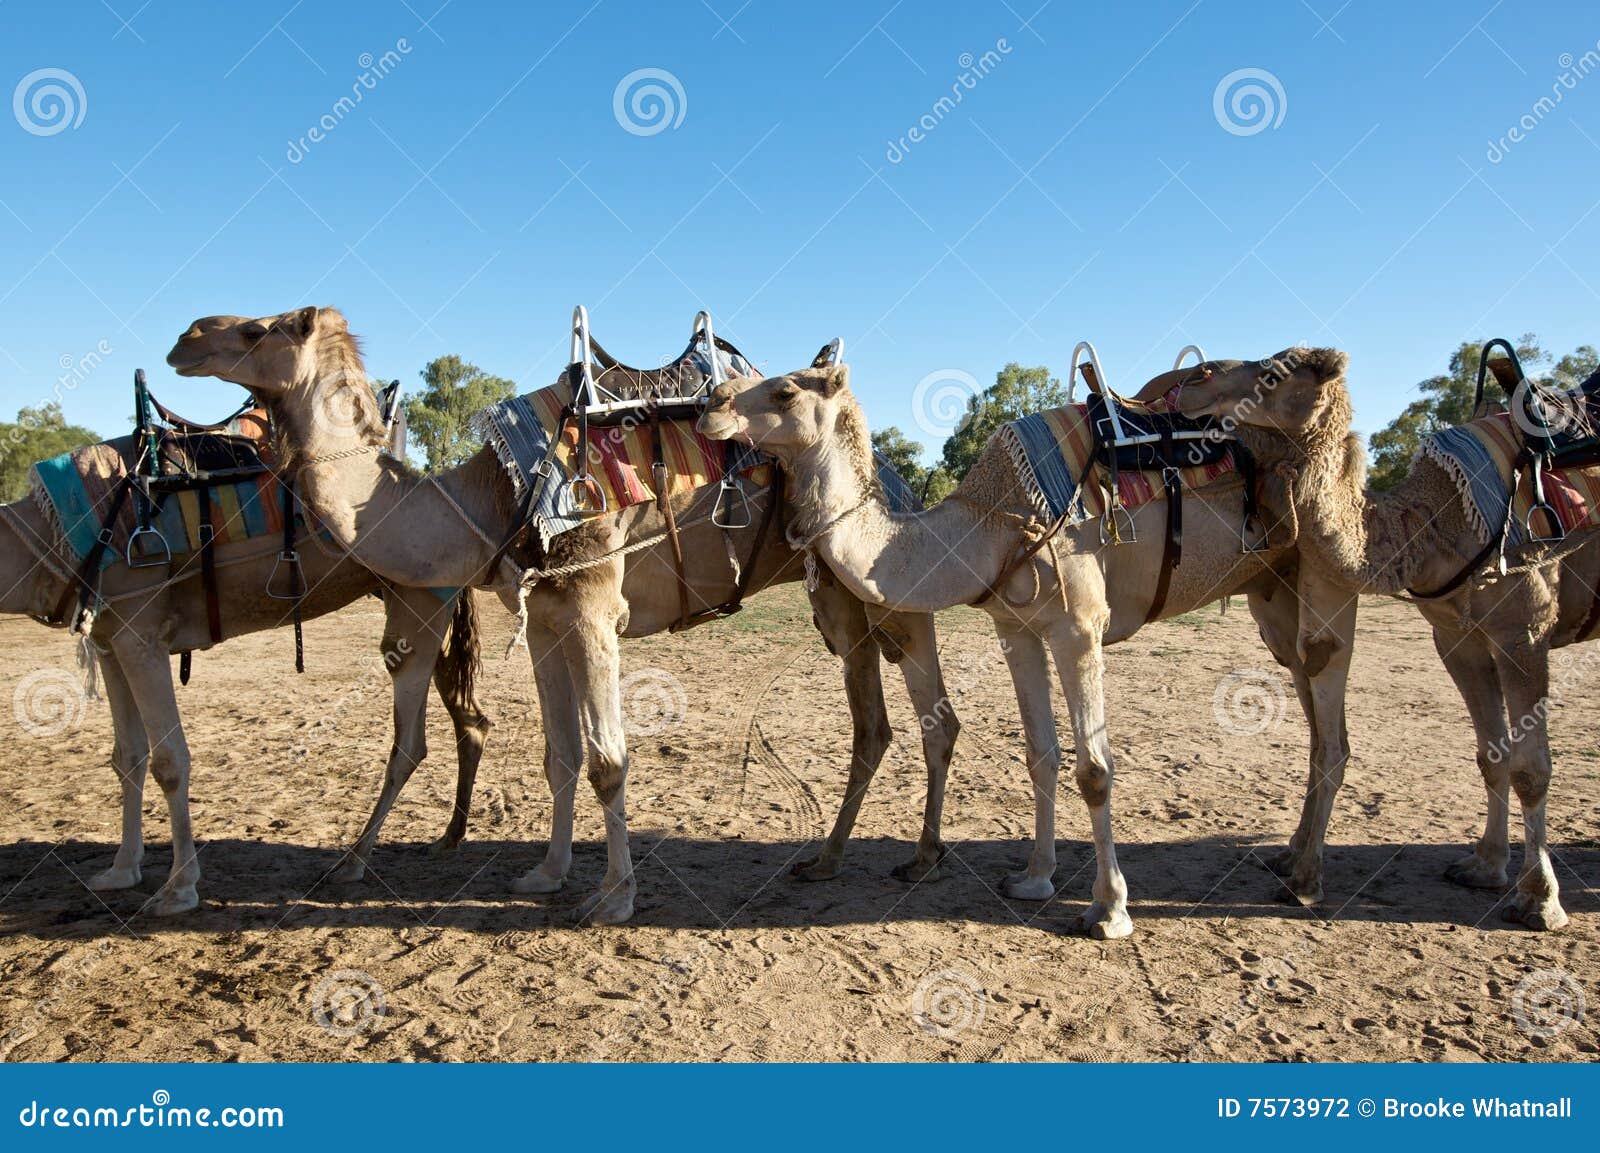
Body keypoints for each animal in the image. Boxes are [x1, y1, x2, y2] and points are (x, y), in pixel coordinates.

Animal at [0, 475, 488, 917]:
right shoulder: (108, 638)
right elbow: (127, 757)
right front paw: (120, 870)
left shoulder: (141, 630)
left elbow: (169, 762)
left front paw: (179, 889)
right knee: (471, 719)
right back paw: (447, 837)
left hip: (418, 602)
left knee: (410, 744)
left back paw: (352, 862)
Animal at [166, 305, 959, 926]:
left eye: (258, 328)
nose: (185, 337)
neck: (494, 499)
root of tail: (889, 475)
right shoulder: (546, 619)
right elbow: (561, 755)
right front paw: (546, 873)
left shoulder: (591, 607)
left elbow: (610, 759)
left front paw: (614, 898)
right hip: (838, 602)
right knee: (874, 725)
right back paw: (829, 859)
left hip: (885, 591)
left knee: (935, 717)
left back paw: (921, 858)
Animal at [698, 351, 1360, 939]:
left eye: (784, 390)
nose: (711, 407)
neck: (992, 520)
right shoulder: (1016, 628)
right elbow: (1041, 753)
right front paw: (1034, 878)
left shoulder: (1079, 625)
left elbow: (1095, 769)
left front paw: (1108, 910)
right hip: (1273, 594)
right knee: (1311, 711)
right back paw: (1288, 856)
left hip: (1327, 571)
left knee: (1330, 716)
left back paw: (1305, 880)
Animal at [1177, 353, 1600, 930]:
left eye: (1275, 372)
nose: (1189, 381)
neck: (1438, 517)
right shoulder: (1456, 638)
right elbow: (1492, 753)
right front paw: (1485, 867)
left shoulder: (1524, 631)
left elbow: (1530, 769)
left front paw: (1539, 901)